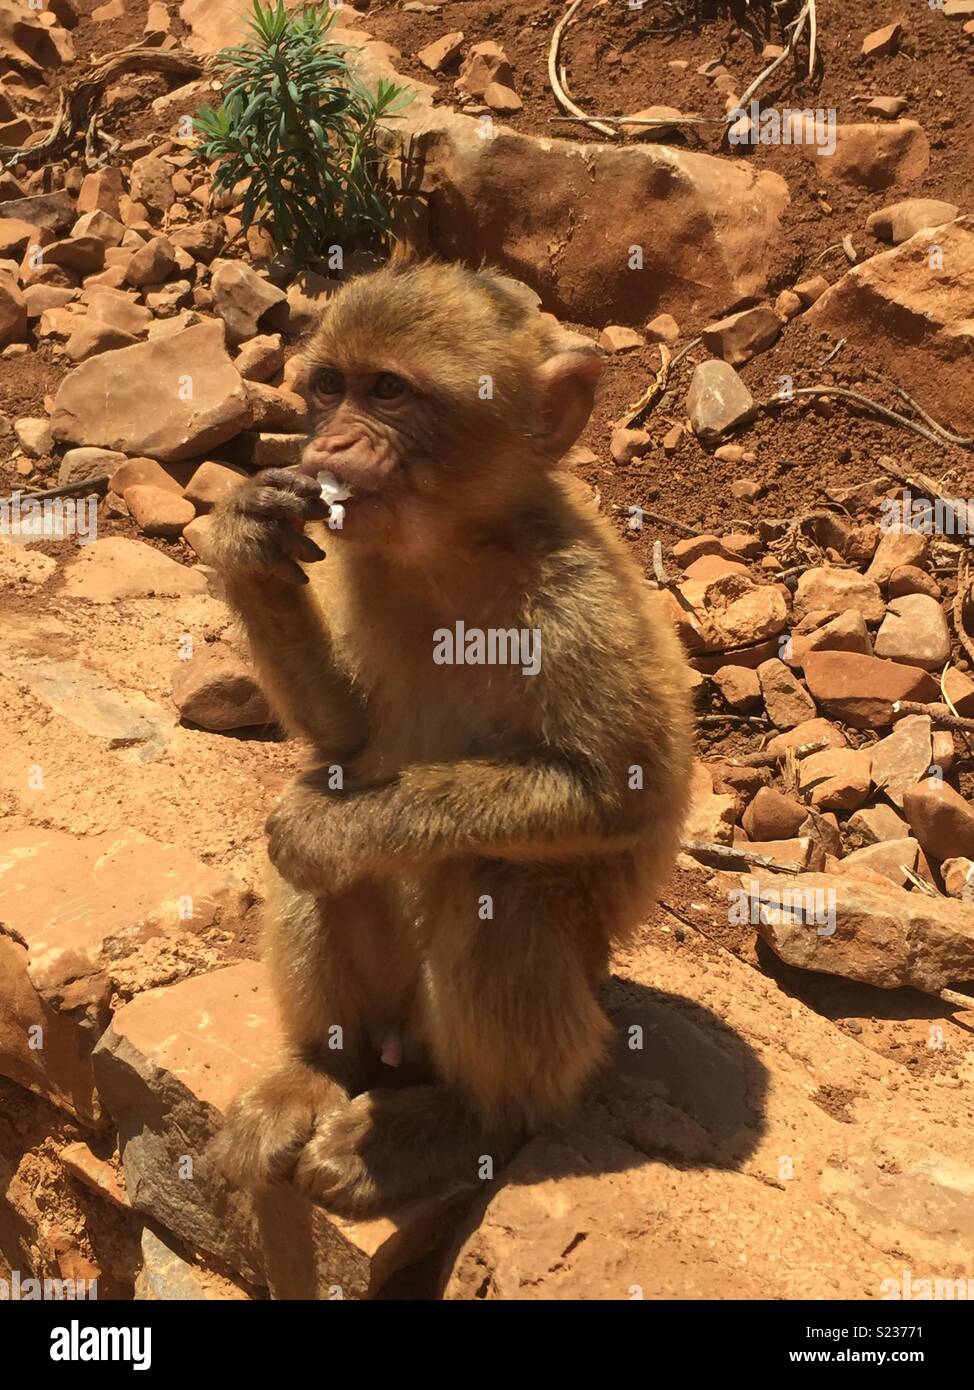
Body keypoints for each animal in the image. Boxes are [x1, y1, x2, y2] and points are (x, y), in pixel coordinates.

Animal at [205, 259, 694, 1216]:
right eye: (330, 386)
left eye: (390, 392)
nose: (330, 447)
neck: (452, 550)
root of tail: (403, 1043)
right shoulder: (358, 558)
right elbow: (345, 734)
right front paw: (249, 538)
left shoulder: (577, 596)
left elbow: (628, 791)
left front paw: (334, 829)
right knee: (325, 810)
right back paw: (321, 1068)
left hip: (554, 1028)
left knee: (498, 882)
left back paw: (463, 1124)